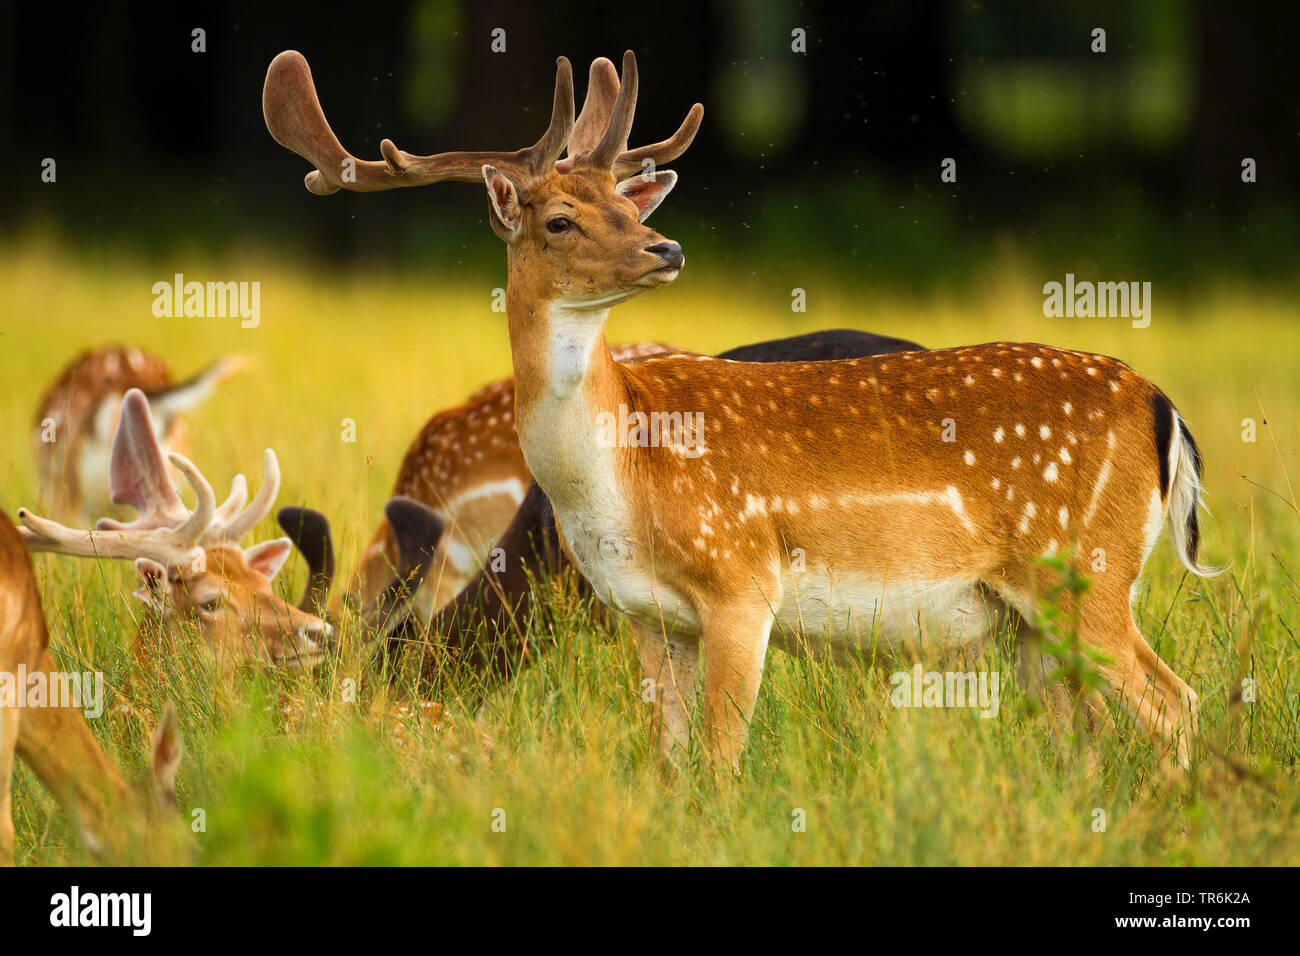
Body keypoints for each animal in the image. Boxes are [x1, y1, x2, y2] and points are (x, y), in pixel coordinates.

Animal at [264, 50, 1216, 773]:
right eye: (562, 219)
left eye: (624, 203)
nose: (667, 246)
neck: (618, 480)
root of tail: (1161, 405)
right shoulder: (651, 619)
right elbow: (669, 759)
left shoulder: (741, 582)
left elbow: (722, 761)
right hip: (1032, 617)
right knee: (1084, 730)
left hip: (1084, 571)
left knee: (1174, 700)